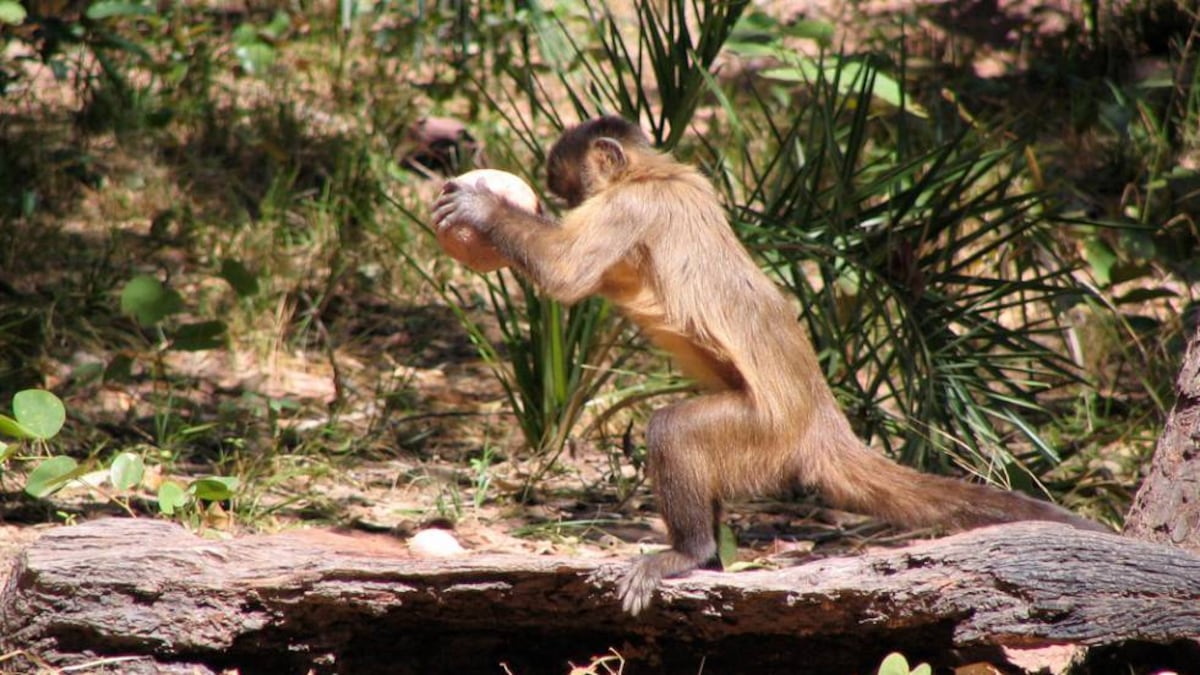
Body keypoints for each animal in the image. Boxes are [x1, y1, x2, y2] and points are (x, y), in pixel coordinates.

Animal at [432, 115, 1107, 616]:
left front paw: (483, 211)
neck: (657, 171)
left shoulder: (632, 205)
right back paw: (707, 557)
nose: (560, 199)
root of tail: (822, 421)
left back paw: (690, 553)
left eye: (565, 185)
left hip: (765, 438)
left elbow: (567, 277)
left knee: (672, 428)